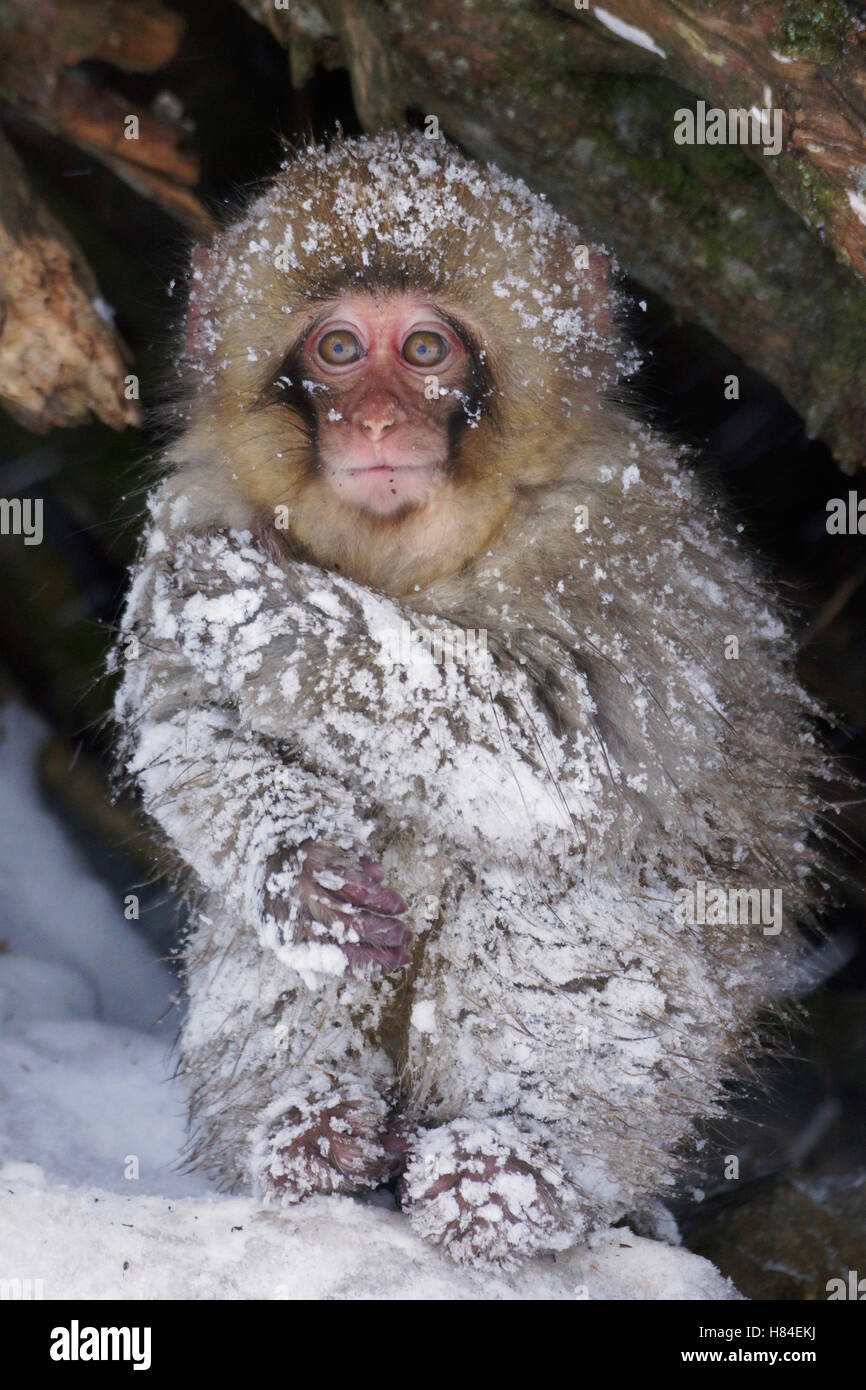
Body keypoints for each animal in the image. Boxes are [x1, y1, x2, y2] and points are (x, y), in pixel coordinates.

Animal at [113, 132, 830, 1268]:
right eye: (337, 349)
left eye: (423, 350)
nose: (374, 419)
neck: (416, 553)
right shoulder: (190, 499)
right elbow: (187, 736)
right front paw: (294, 868)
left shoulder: (620, 544)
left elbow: (559, 747)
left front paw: (257, 601)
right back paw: (307, 1130)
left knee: (535, 870)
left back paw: (512, 1170)